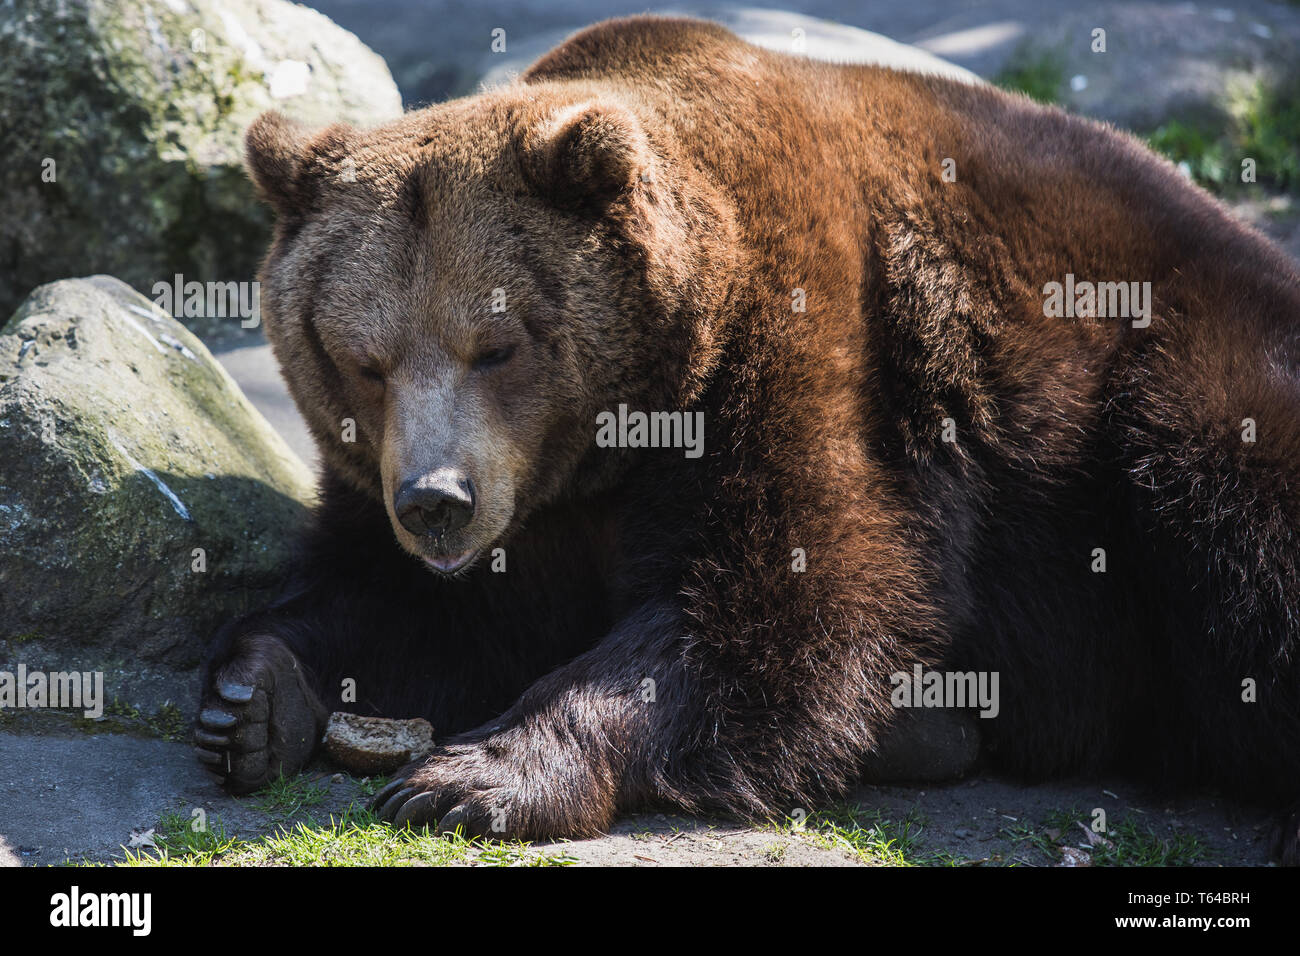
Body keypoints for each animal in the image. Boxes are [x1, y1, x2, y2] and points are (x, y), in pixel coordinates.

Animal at [195, 16, 1300, 859]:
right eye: (364, 358)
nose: (435, 501)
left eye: (496, 346)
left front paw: (469, 777)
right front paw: (250, 699)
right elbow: (416, 605)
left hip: (1166, 383)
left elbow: (778, 600)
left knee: (1237, 524)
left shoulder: (807, 357)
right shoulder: (517, 506)